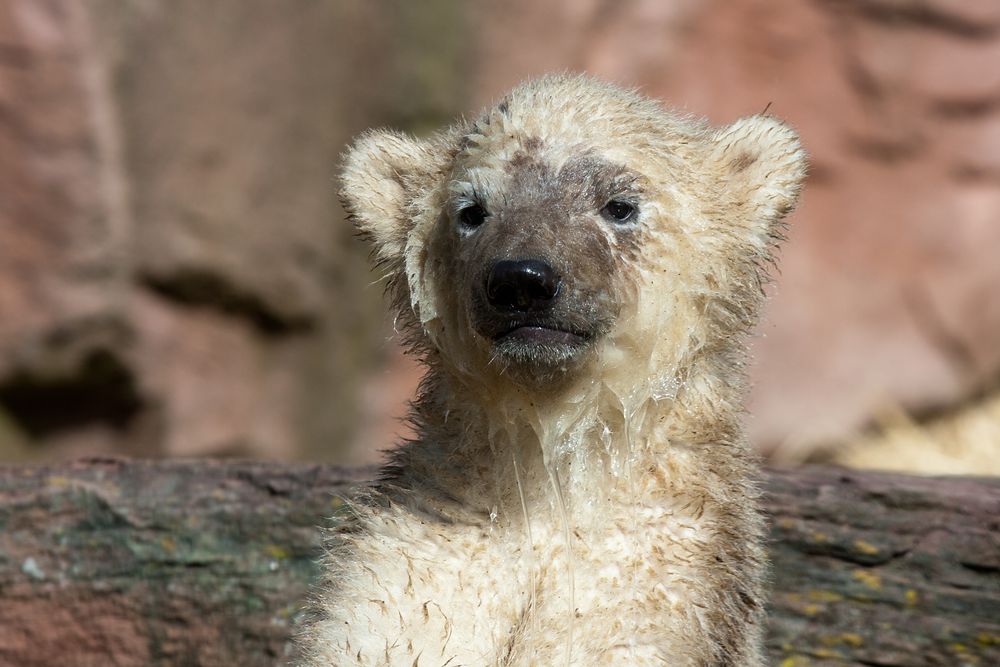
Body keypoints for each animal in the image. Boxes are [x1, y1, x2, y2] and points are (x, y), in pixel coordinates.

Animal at [295, 73, 806, 666]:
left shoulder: (658, 580)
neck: (546, 484)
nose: (521, 280)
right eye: (471, 210)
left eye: (619, 204)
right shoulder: (418, 558)